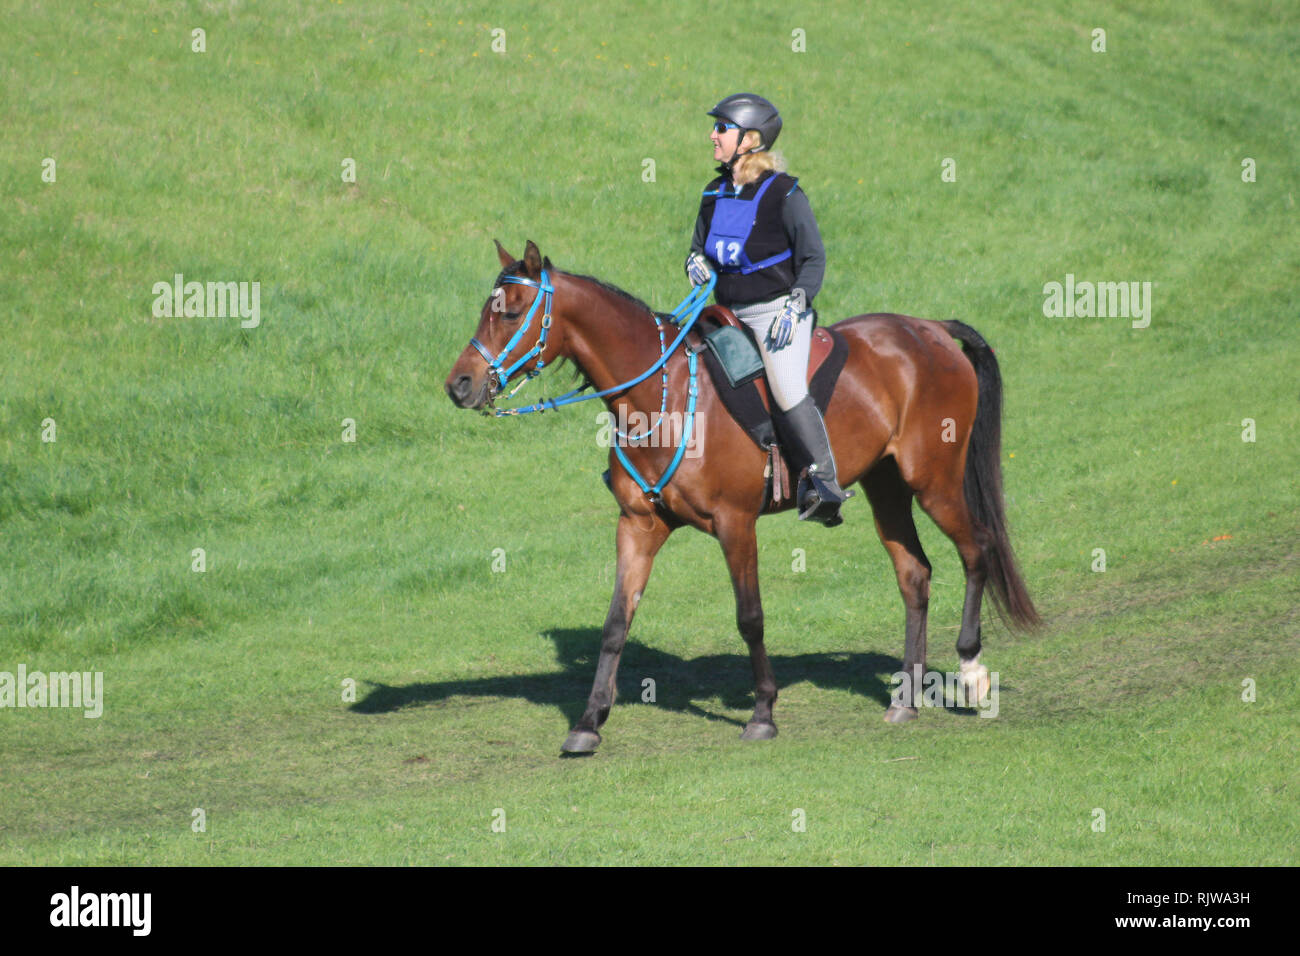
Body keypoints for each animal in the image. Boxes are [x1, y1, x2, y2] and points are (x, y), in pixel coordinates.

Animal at [445, 240, 1040, 753]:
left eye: (509, 312)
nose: (459, 384)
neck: (663, 396)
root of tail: (930, 329)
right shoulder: (638, 526)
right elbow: (616, 623)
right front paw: (589, 722)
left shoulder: (736, 524)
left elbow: (749, 617)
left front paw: (763, 714)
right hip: (886, 488)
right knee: (914, 574)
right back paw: (907, 698)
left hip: (934, 482)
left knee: (977, 549)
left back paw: (971, 670)